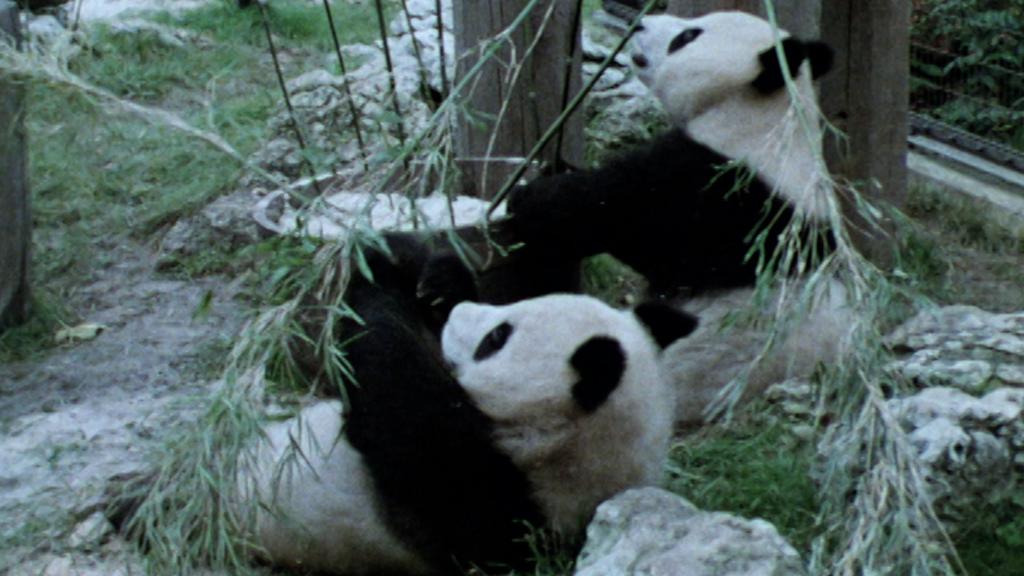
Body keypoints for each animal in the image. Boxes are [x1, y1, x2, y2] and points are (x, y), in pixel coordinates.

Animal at [503, 10, 851, 423]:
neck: (767, 117)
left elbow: (620, 214)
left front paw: (528, 197)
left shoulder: (716, 189)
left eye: (687, 37)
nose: (640, 23)